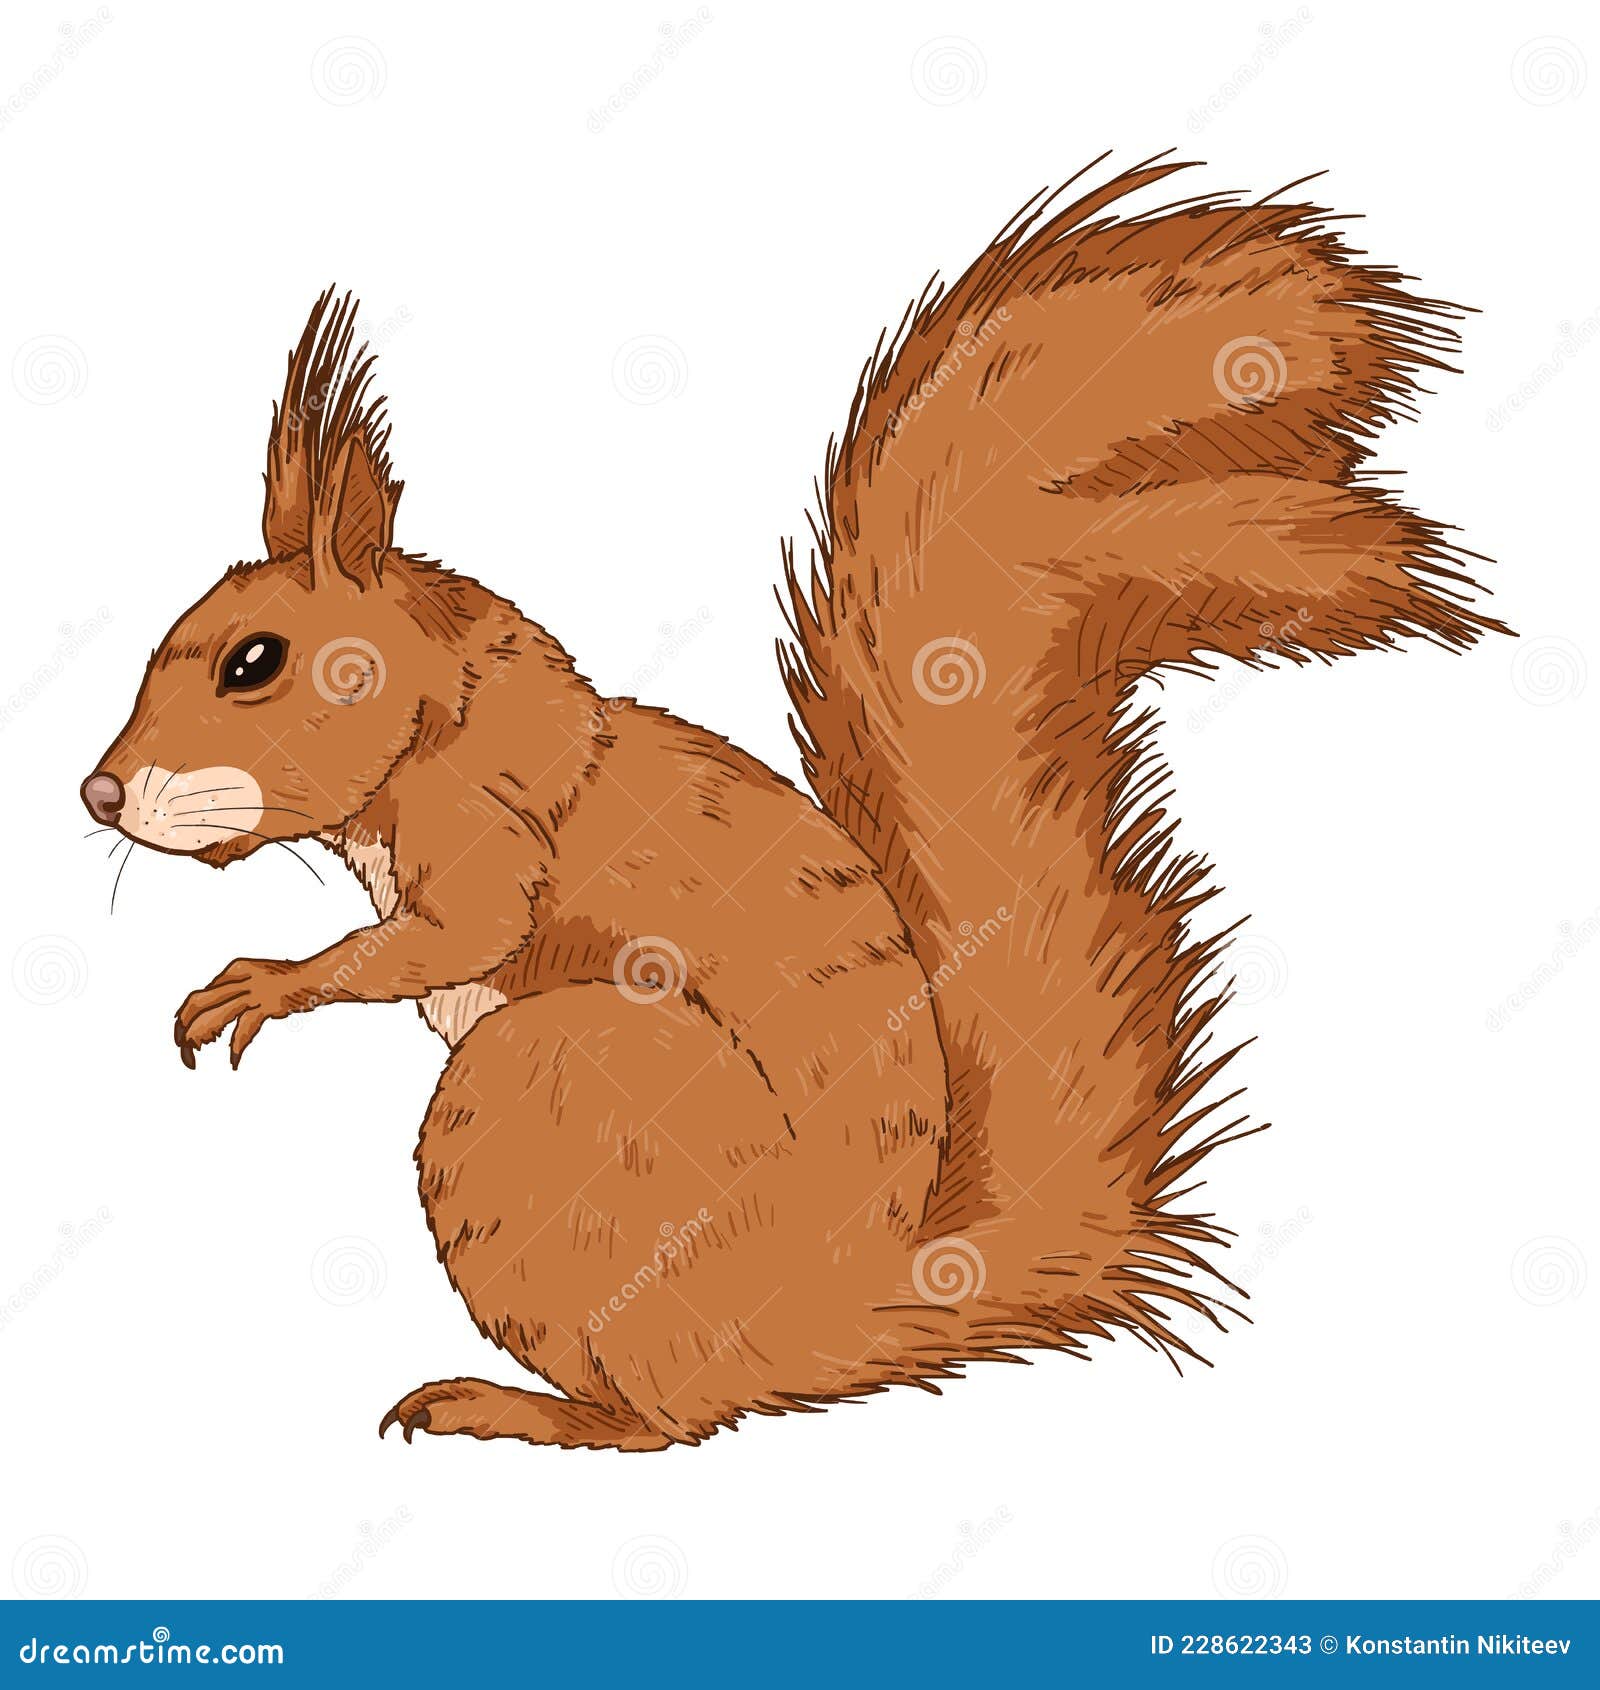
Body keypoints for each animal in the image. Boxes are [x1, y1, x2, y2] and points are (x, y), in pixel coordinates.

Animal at [83, 158, 1497, 1451]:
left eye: (253, 662)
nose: (97, 792)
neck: (448, 706)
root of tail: (826, 1317)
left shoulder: (490, 828)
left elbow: (453, 934)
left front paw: (262, 982)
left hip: (547, 1081)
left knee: (665, 1418)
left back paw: (515, 1407)